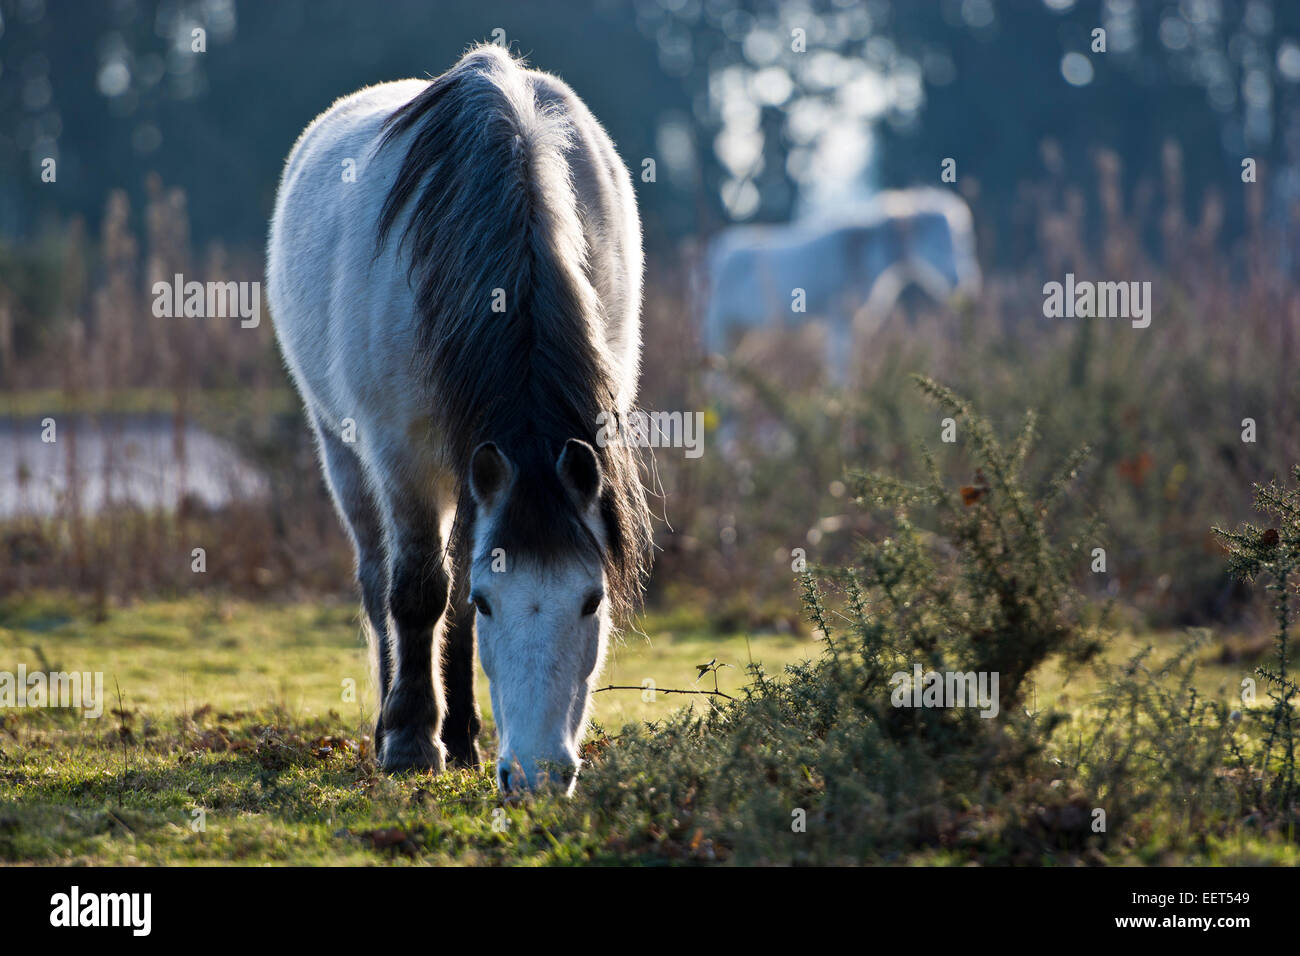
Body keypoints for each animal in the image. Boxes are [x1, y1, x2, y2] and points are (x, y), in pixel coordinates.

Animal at [266, 44, 652, 794]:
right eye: (494, 601)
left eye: (591, 599)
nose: (536, 776)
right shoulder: (400, 455)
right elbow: (420, 592)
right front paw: (412, 741)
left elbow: (454, 599)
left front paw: (456, 736)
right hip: (342, 450)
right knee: (377, 578)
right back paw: (394, 722)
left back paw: (465, 735)